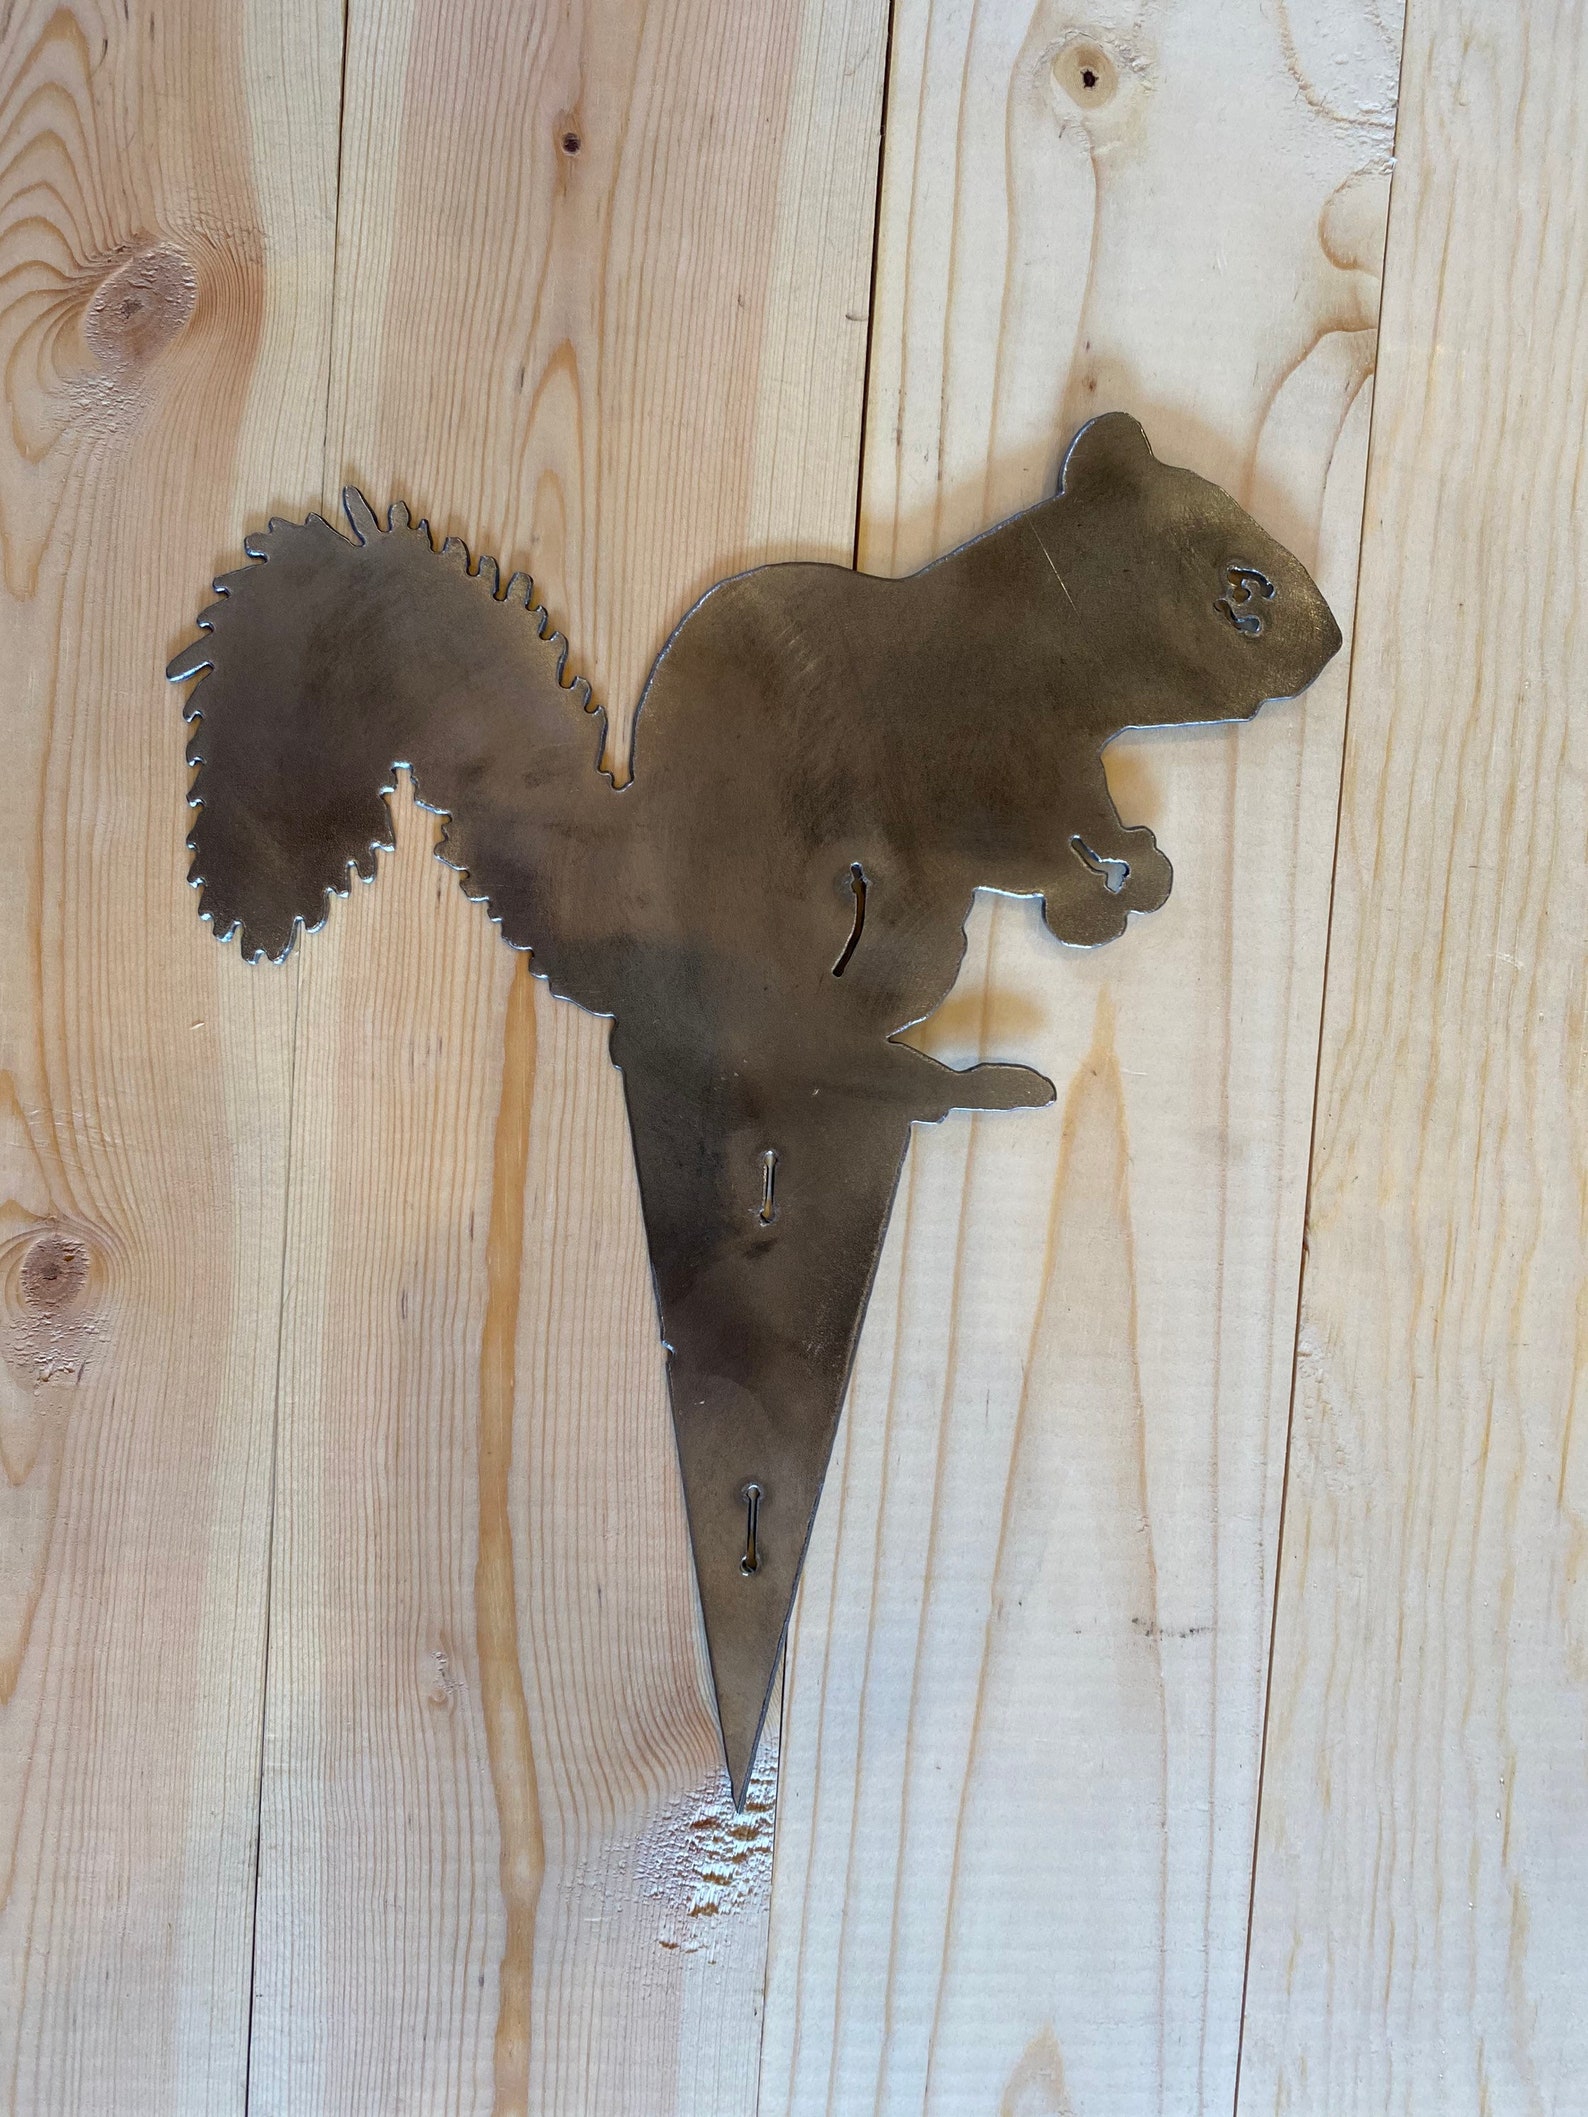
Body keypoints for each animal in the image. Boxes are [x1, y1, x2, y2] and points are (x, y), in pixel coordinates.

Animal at [168, 411, 1341, 1801]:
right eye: (1241, 584)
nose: (1331, 644)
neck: (1030, 642)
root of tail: (620, 936)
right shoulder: (988, 778)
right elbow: (1043, 842)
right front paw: (1101, 895)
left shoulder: (1058, 771)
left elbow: (1099, 825)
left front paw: (1134, 870)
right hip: (858, 939)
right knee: (848, 1056)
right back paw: (972, 1079)